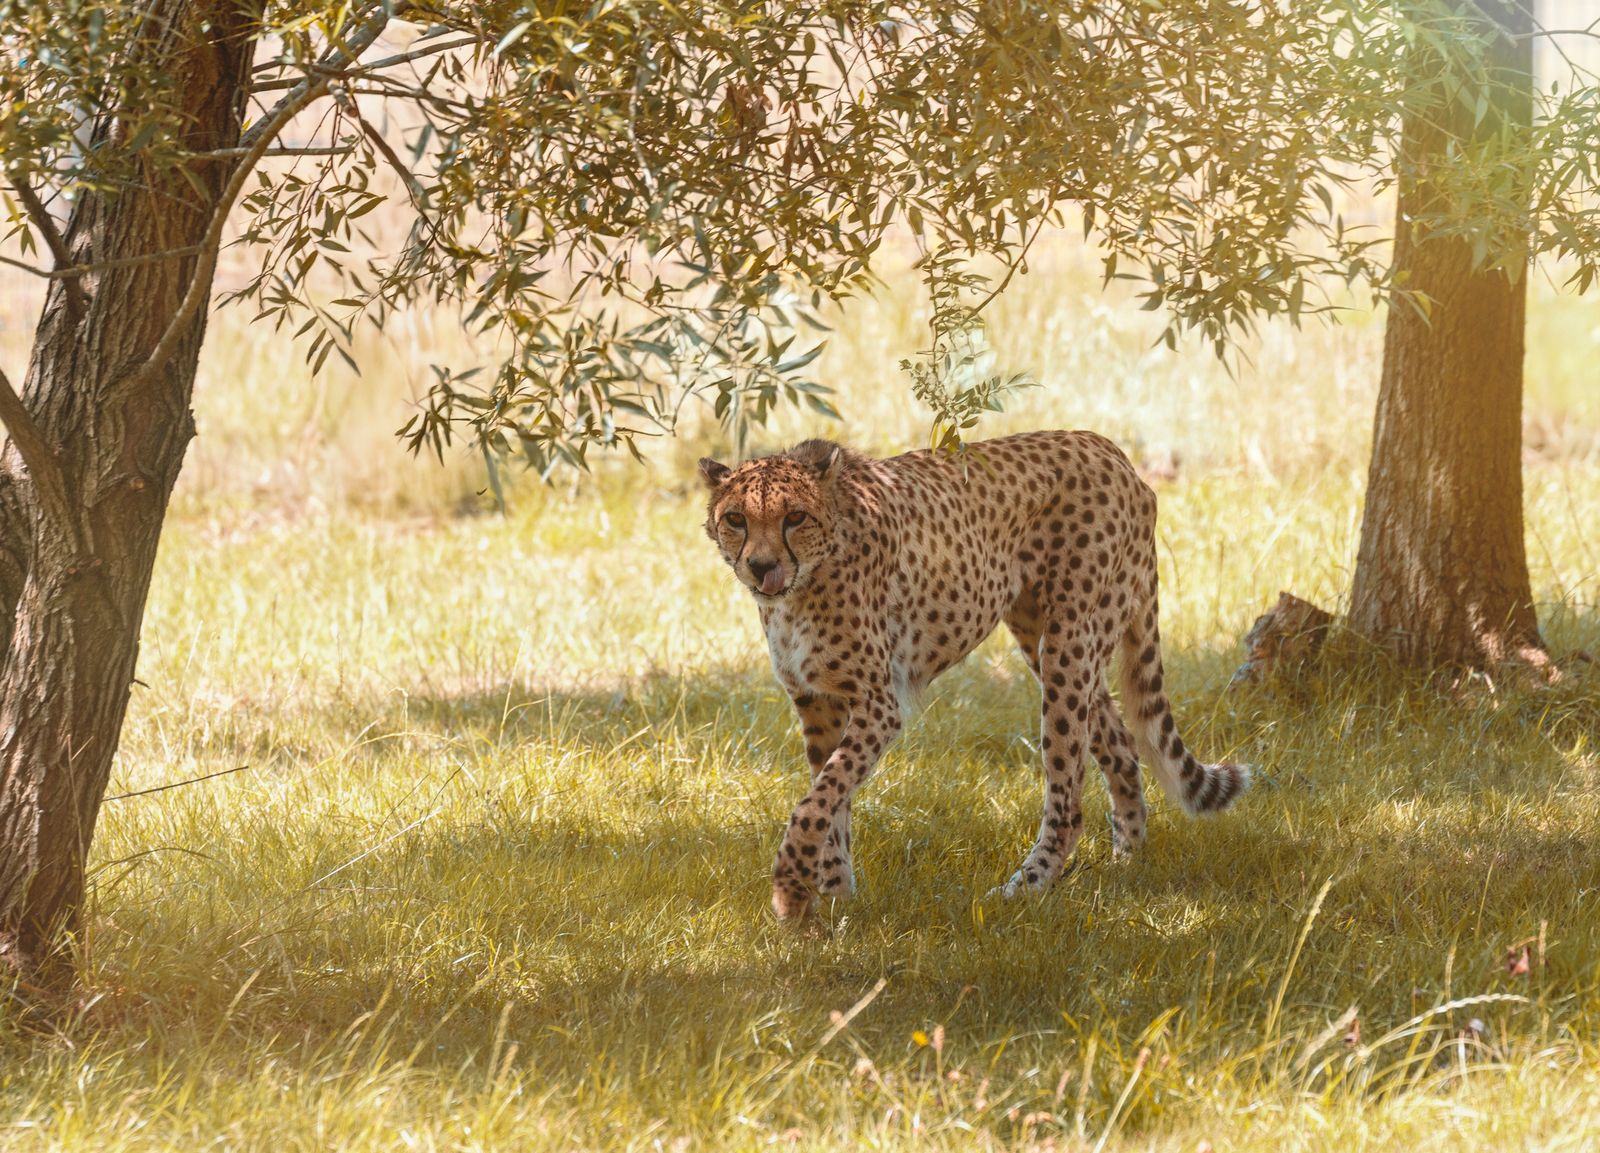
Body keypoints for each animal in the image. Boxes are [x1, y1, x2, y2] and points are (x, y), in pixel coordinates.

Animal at [699, 430, 1250, 920]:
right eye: (735, 519)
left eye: (794, 517)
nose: (761, 566)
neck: (804, 584)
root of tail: (1111, 451)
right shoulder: (818, 703)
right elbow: (830, 802)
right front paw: (833, 897)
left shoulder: (878, 705)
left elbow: (816, 801)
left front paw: (791, 890)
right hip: (1042, 636)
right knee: (1120, 745)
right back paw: (1126, 861)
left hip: (1069, 643)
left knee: (1068, 794)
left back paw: (1025, 887)